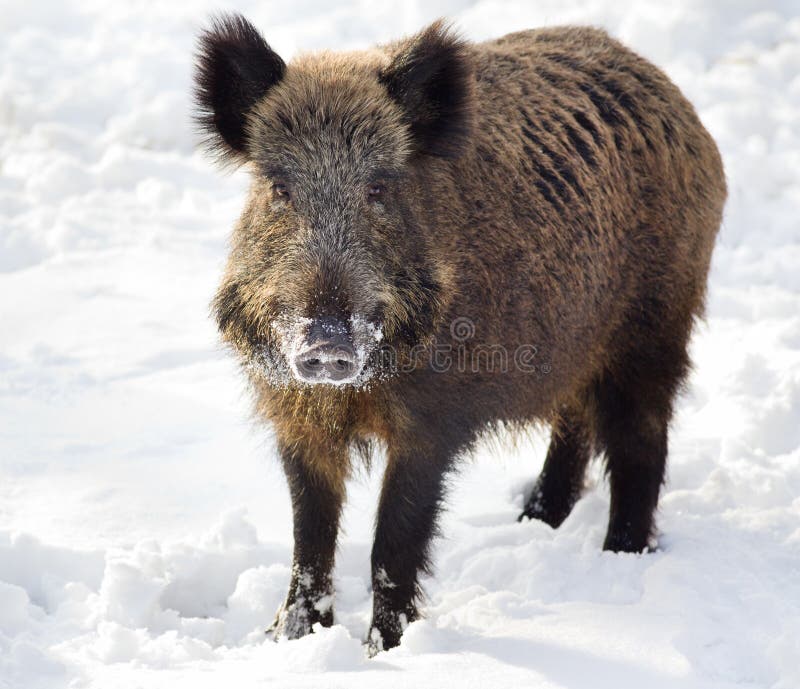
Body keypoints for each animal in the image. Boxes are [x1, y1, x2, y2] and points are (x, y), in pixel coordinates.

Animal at [193, 14, 726, 652]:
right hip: (574, 348)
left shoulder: (432, 424)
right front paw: (290, 641)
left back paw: (621, 558)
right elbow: (310, 538)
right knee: (574, 424)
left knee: (640, 442)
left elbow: (392, 544)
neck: (355, 395)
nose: (326, 343)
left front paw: (385, 653)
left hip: (655, 328)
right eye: (278, 187)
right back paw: (533, 521)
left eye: (379, 188)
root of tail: (676, 101)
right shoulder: (296, 415)